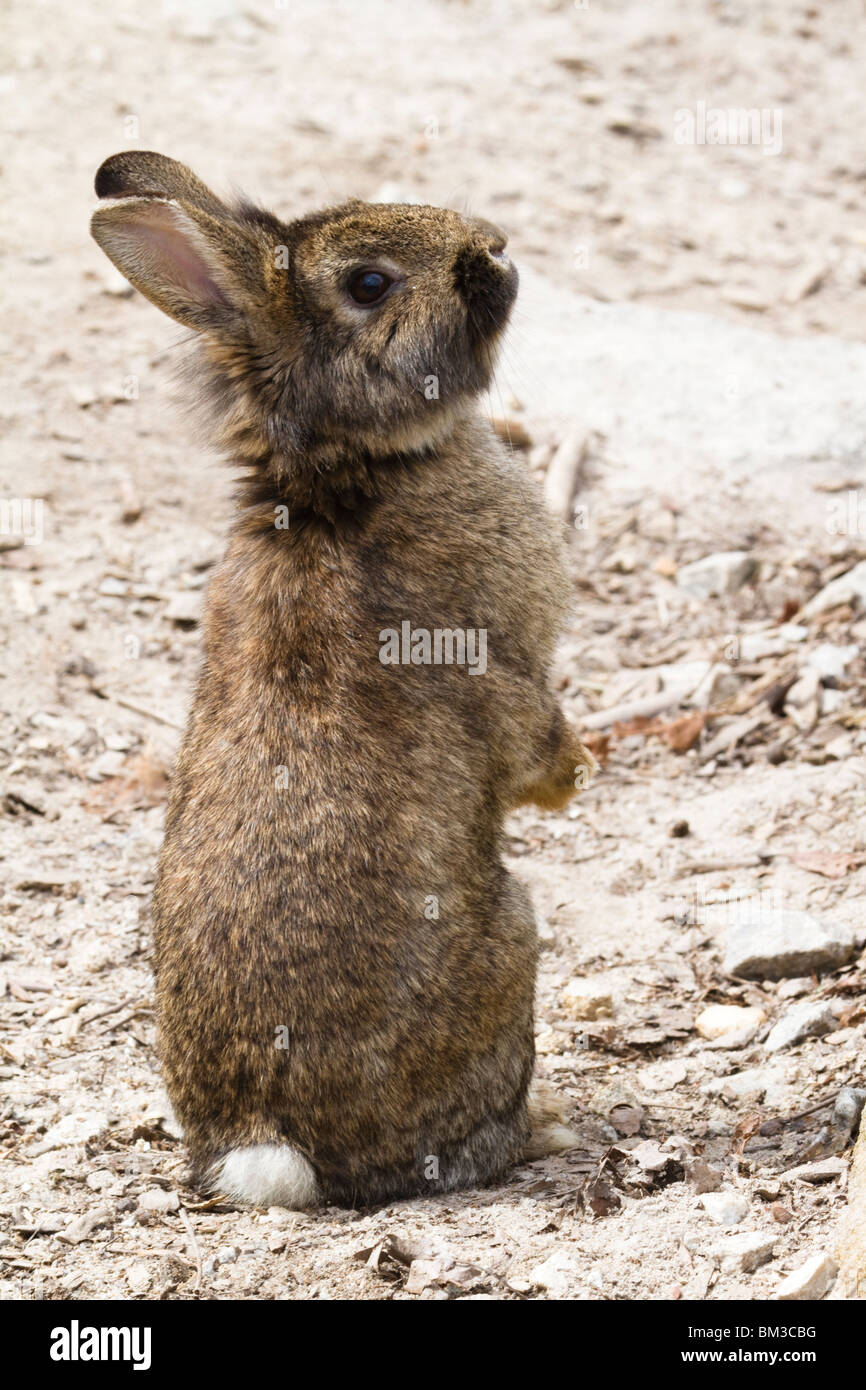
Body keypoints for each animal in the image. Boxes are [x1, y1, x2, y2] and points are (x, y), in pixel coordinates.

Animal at [90, 151, 596, 1209]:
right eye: (369, 283)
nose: (493, 247)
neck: (345, 467)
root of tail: (267, 1141)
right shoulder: (511, 669)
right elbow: (530, 737)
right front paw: (579, 774)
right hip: (516, 941)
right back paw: (547, 1130)